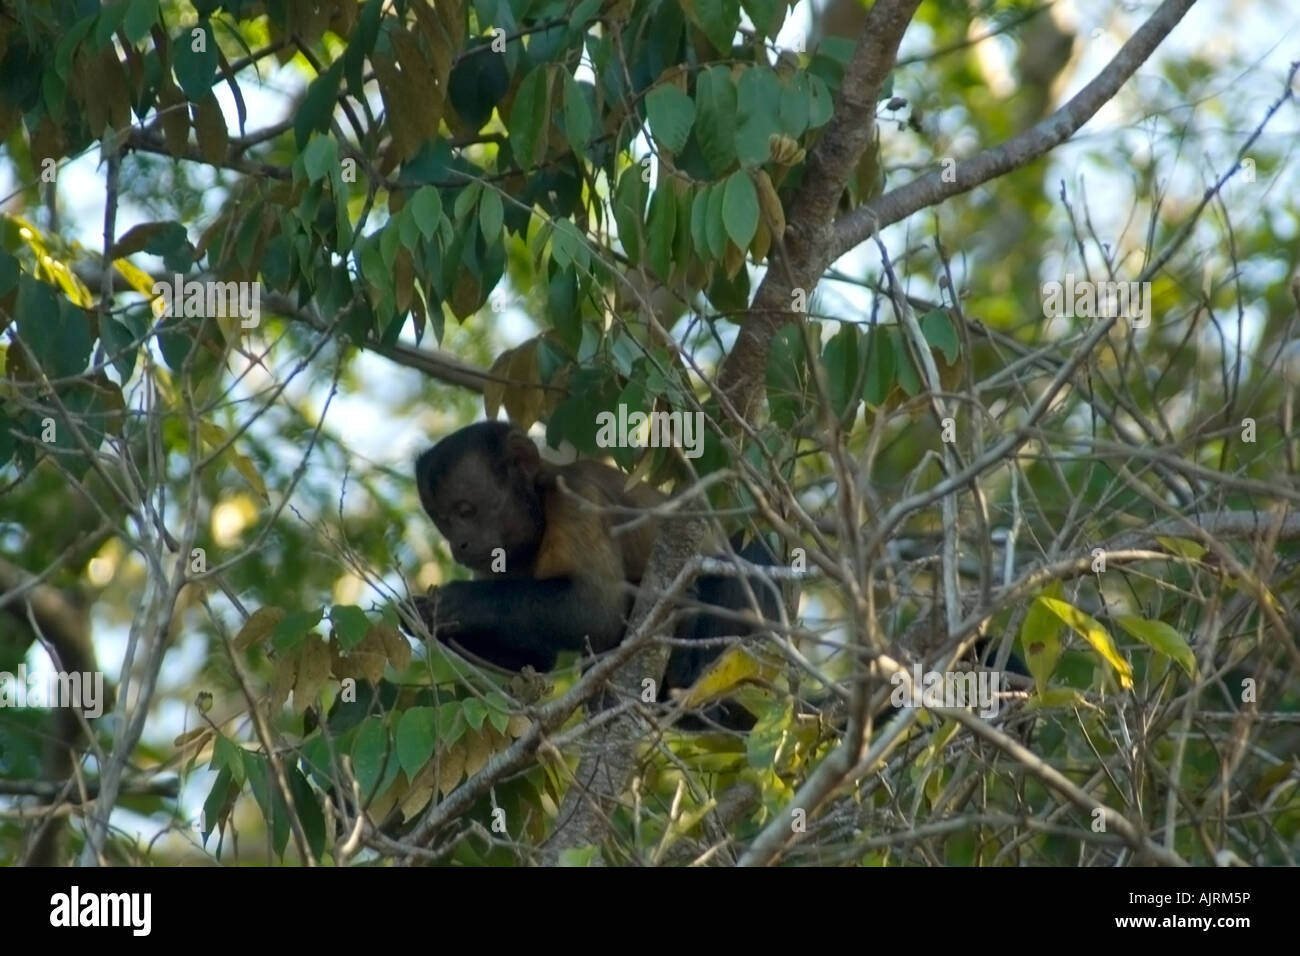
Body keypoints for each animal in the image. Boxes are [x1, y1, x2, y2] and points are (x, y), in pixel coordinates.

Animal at [407, 421, 780, 724]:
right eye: (443, 521)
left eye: (466, 511)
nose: (459, 544)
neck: (538, 512)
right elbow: (538, 659)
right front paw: (423, 618)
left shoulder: (575, 497)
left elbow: (597, 610)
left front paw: (454, 602)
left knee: (745, 561)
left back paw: (688, 682)